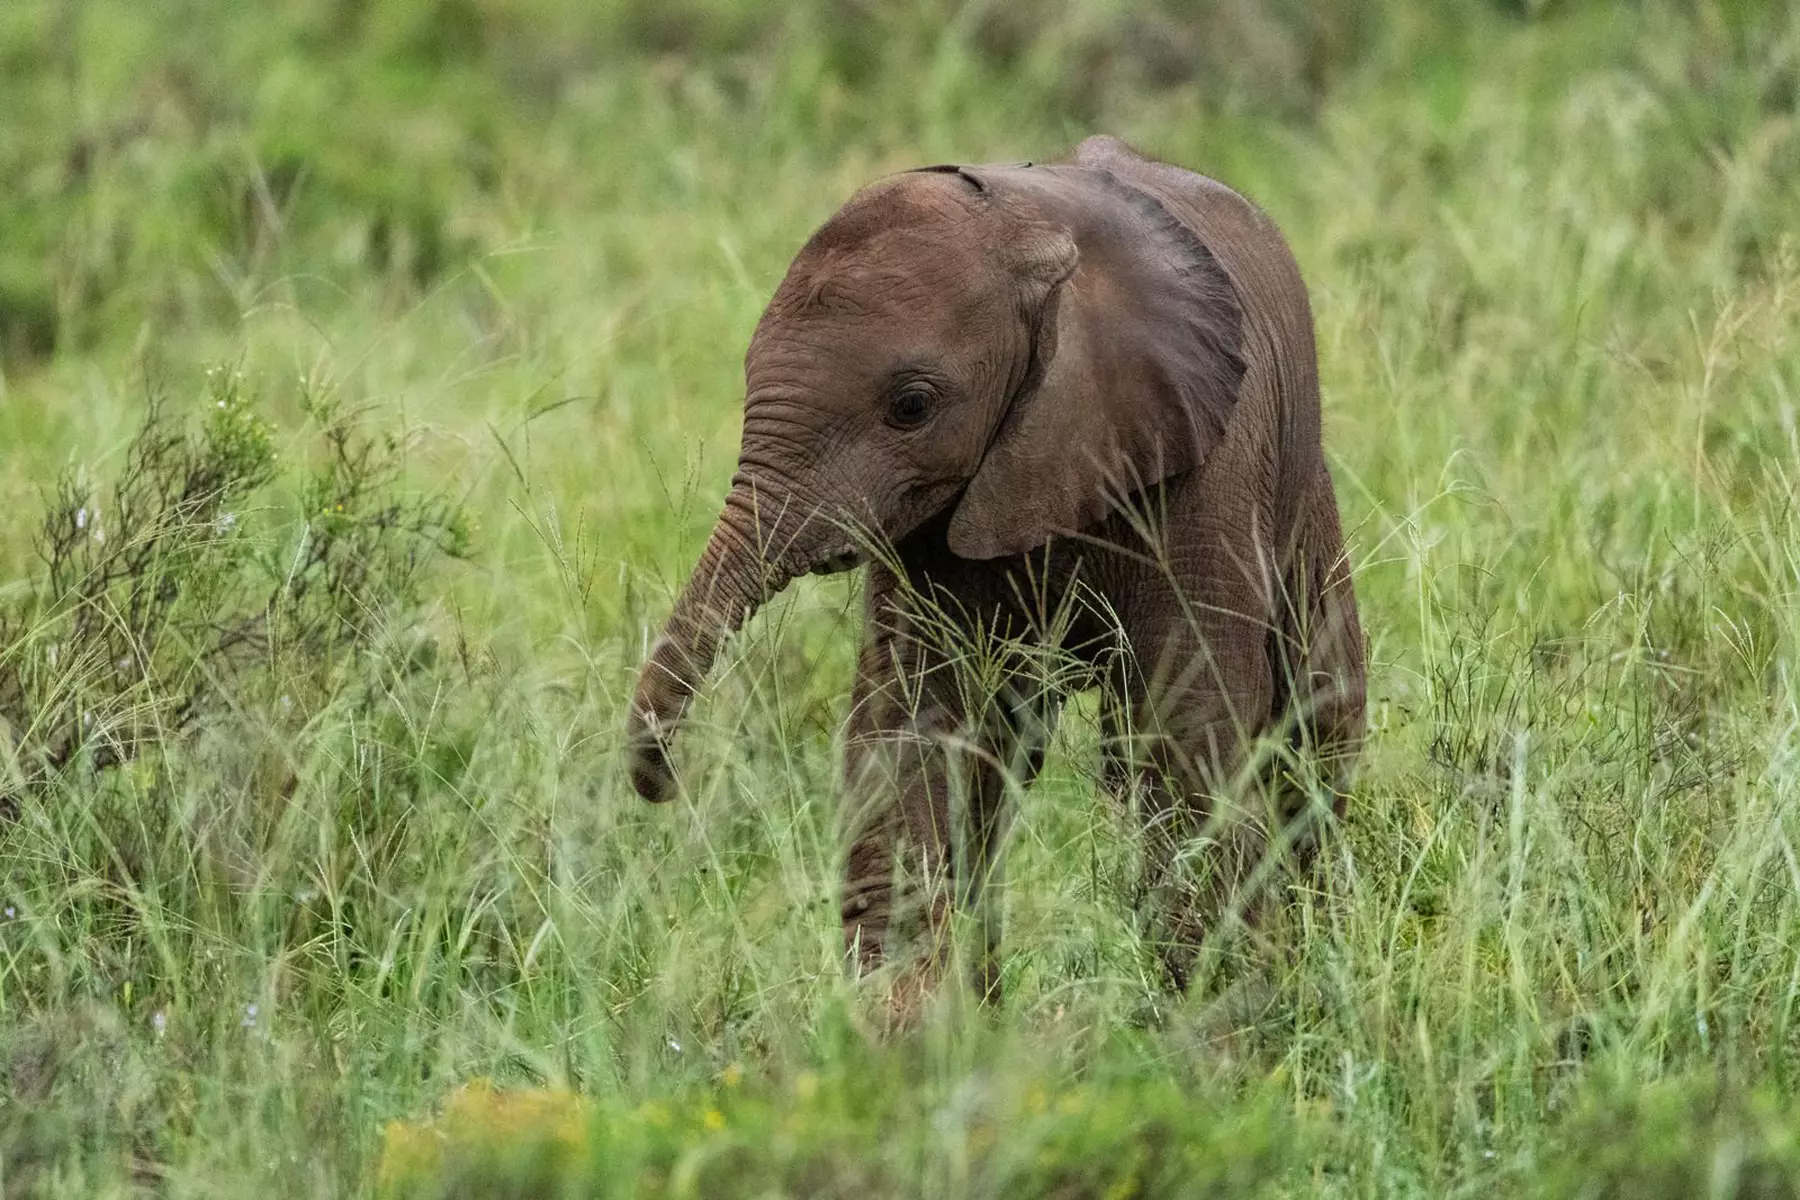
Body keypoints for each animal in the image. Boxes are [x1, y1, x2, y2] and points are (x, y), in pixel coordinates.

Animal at [630, 135, 1360, 993]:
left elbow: (1187, 725)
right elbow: (917, 730)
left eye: (911, 406)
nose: (664, 781)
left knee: (1319, 718)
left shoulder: (1207, 468)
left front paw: (1202, 1004)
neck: (1033, 237)